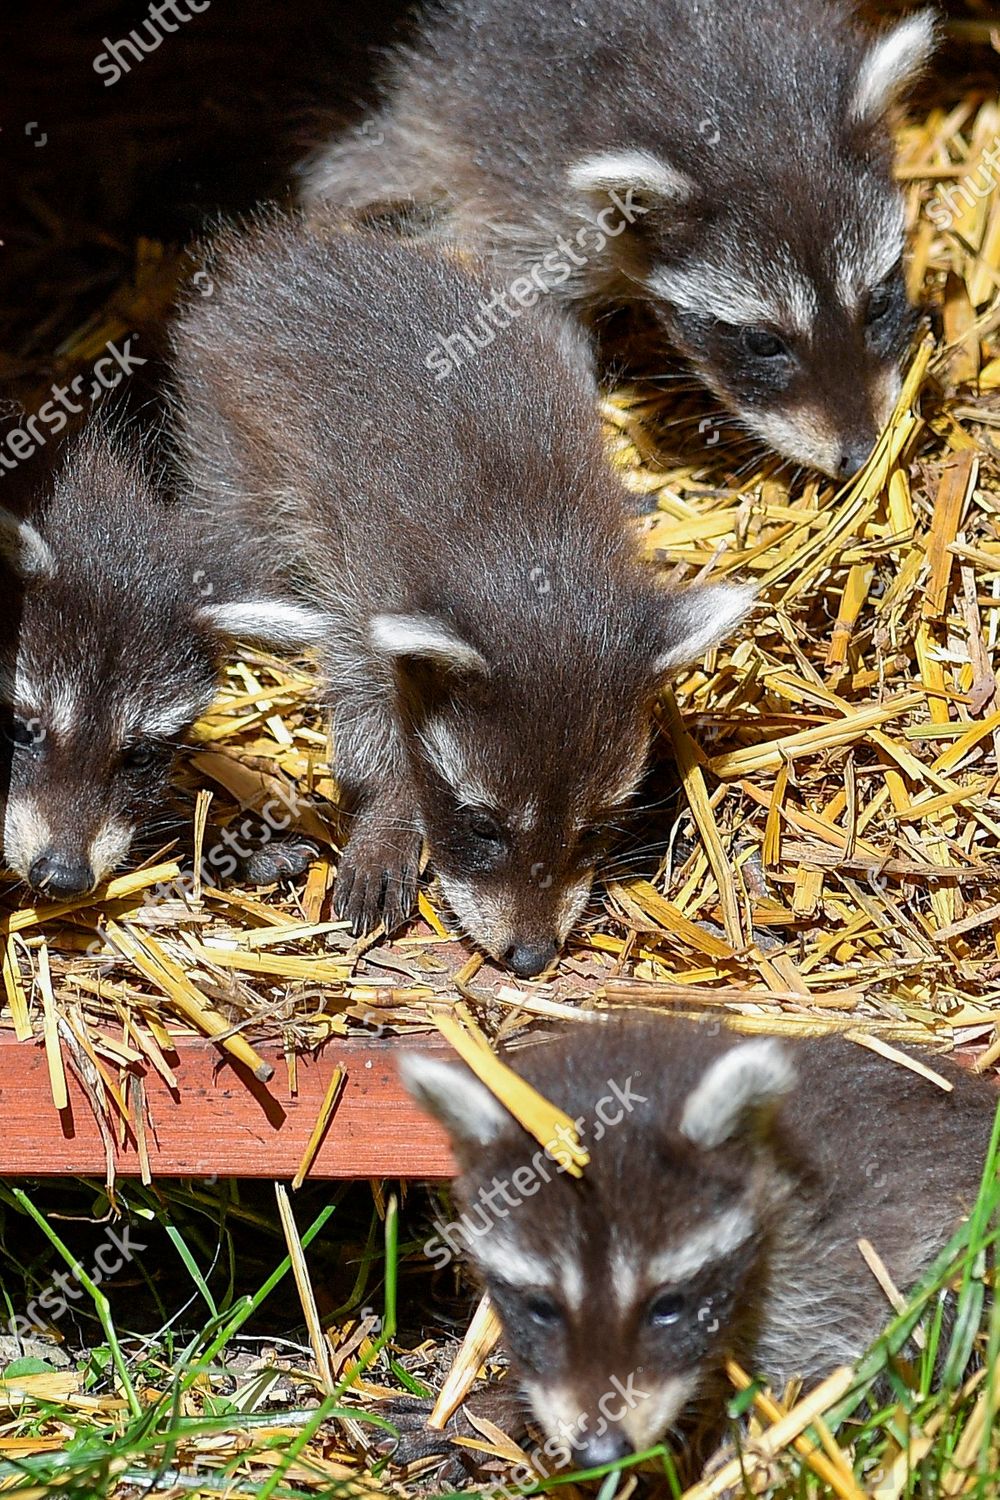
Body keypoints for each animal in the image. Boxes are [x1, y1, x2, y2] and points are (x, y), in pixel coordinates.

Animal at [170, 217, 752, 974]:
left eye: (591, 828)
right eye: (483, 826)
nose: (531, 957)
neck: (533, 562)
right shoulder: (367, 582)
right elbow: (367, 708)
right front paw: (390, 810)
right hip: (234, 429)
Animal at [400, 1016, 996, 1466]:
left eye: (668, 1306)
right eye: (541, 1307)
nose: (601, 1454)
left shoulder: (836, 1260)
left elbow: (814, 1368)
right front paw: (490, 1408)